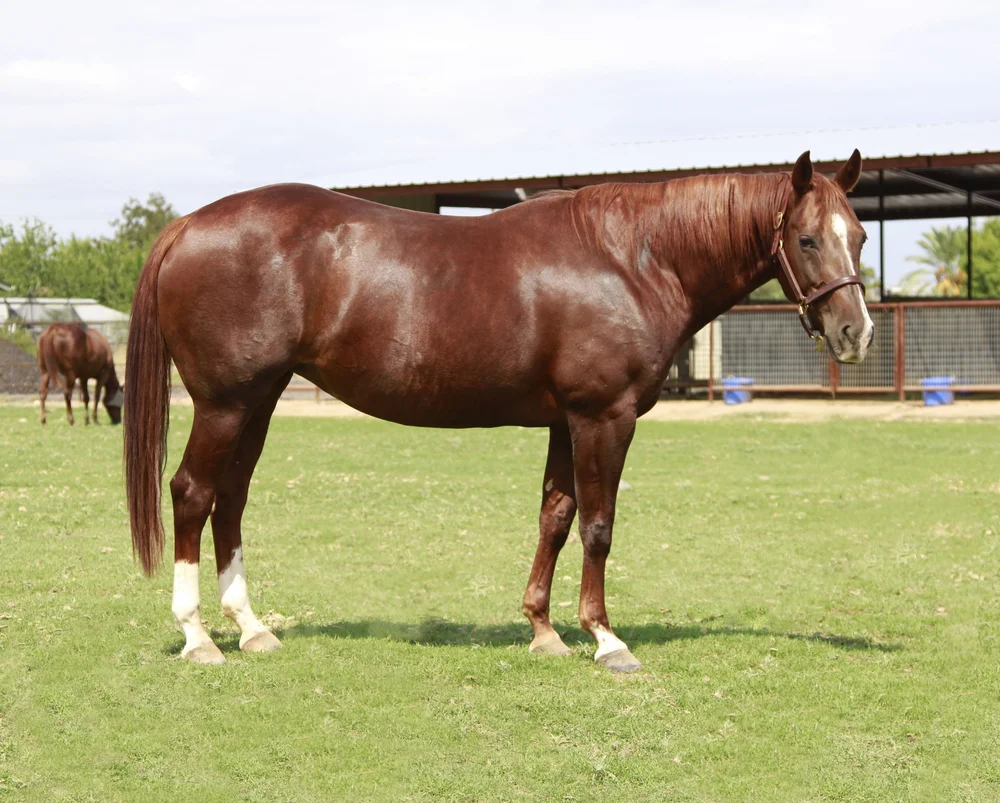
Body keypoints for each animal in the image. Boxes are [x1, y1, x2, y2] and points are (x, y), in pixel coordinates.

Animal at [124, 149, 873, 670]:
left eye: (860, 236)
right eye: (807, 239)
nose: (855, 333)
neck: (632, 257)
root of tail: (188, 225)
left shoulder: (566, 420)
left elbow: (556, 517)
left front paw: (543, 631)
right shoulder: (604, 416)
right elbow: (598, 525)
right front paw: (606, 639)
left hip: (260, 400)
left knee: (230, 499)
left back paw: (252, 629)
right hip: (224, 403)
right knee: (192, 493)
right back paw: (197, 636)